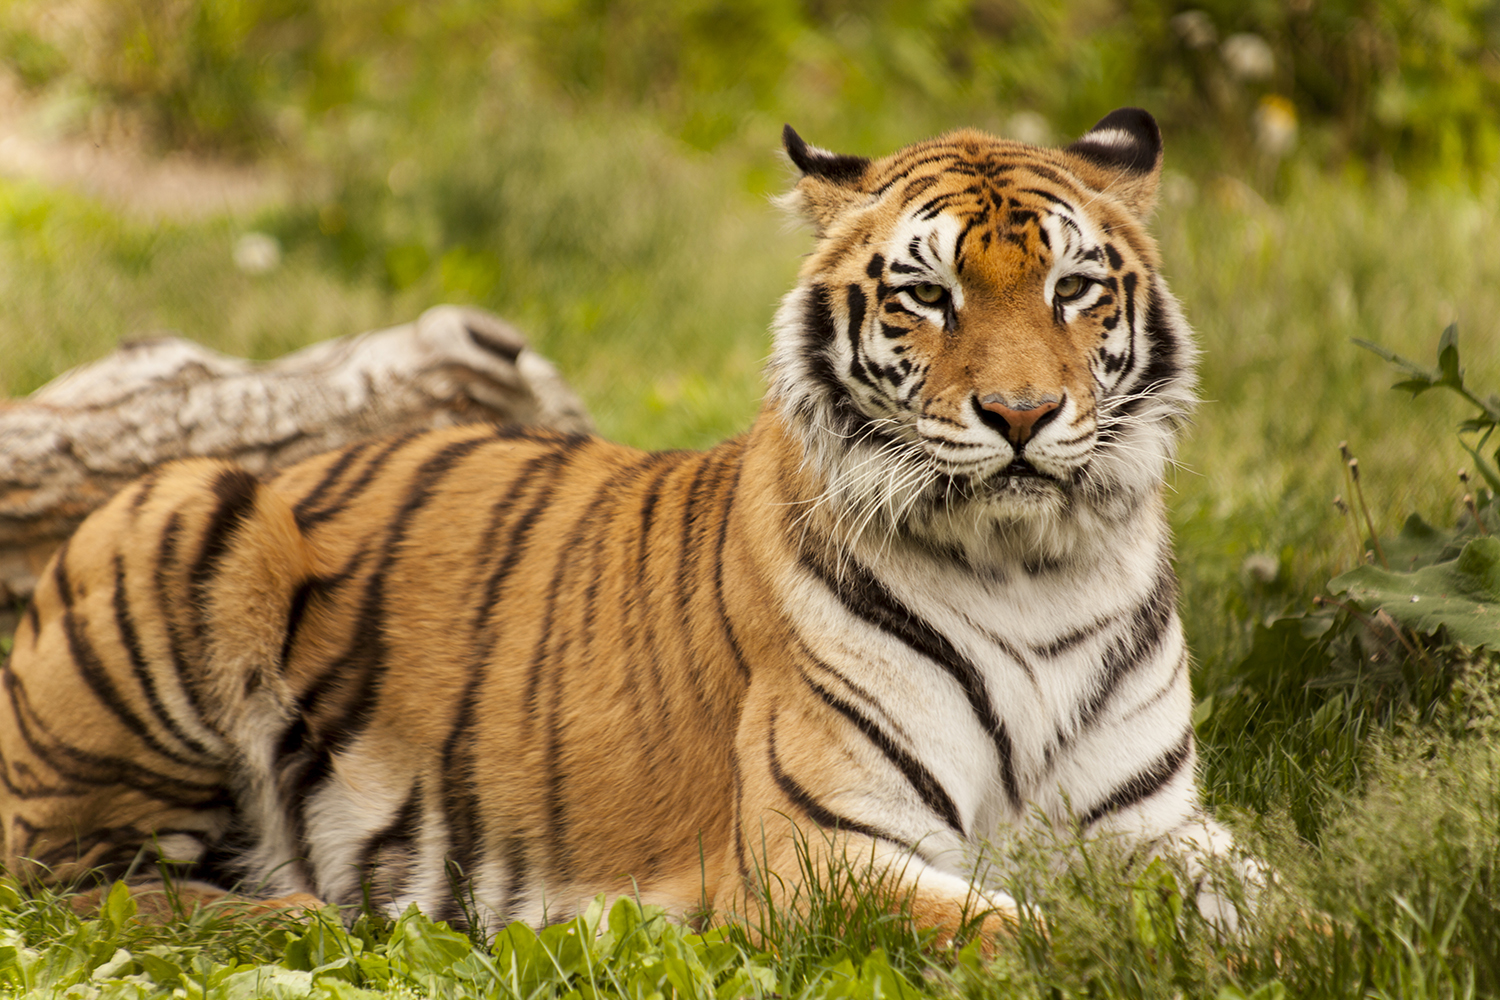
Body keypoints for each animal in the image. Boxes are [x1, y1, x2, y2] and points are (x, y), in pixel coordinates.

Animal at [0, 108, 1249, 939]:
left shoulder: (1159, 829)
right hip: (194, 510)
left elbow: (1264, 897)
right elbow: (1028, 932)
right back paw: (306, 914)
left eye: (1073, 289)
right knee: (82, 891)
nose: (1023, 415)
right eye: (926, 296)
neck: (1033, 569)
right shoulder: (823, 853)